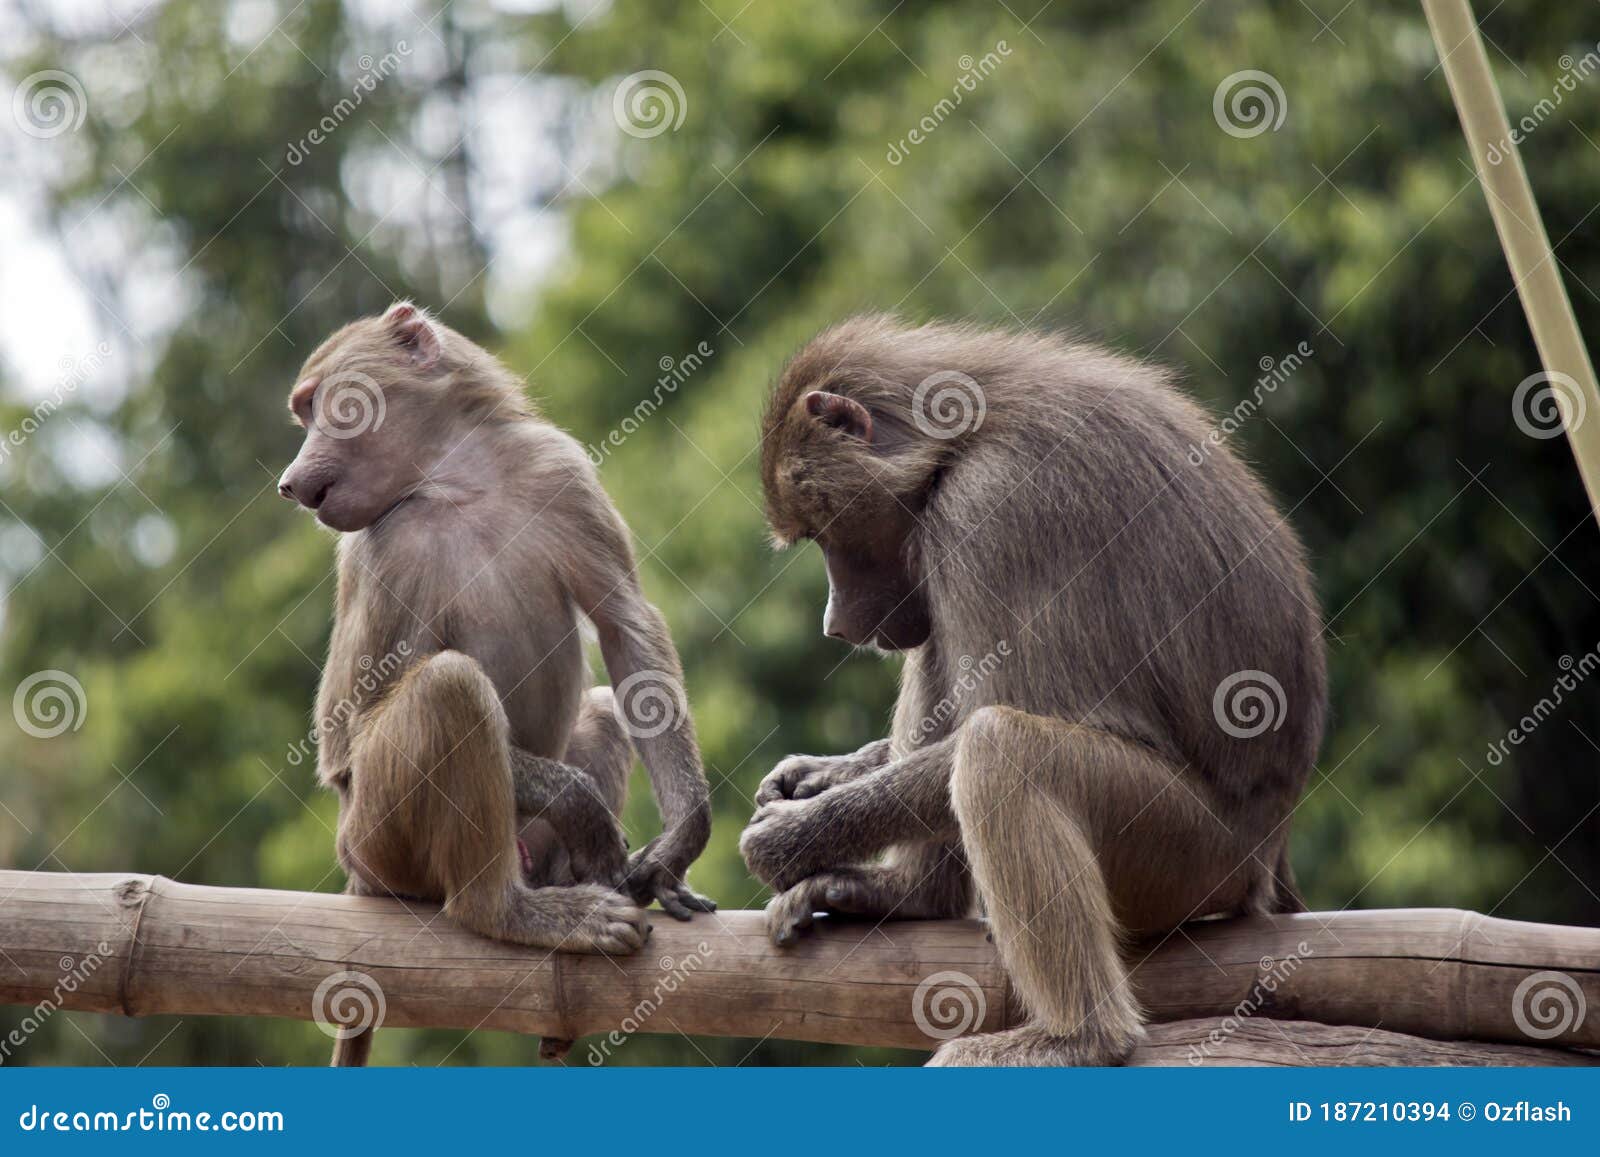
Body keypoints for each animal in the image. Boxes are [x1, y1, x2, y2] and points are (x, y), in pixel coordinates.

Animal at [278, 303, 715, 1065]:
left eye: (316, 406)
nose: (289, 481)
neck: (457, 479)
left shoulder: (559, 468)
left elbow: (626, 625)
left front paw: (676, 844)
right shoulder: (379, 550)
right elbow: (347, 739)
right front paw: (582, 805)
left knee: (604, 710)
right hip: (378, 842)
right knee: (448, 689)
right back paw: (509, 909)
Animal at [739, 316, 1326, 1067]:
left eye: (823, 535)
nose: (835, 626)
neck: (956, 443)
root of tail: (1270, 851)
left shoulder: (986, 509)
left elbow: (1019, 715)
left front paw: (793, 834)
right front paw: (821, 775)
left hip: (1189, 856)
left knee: (1001, 748)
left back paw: (1077, 1038)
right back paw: (907, 895)